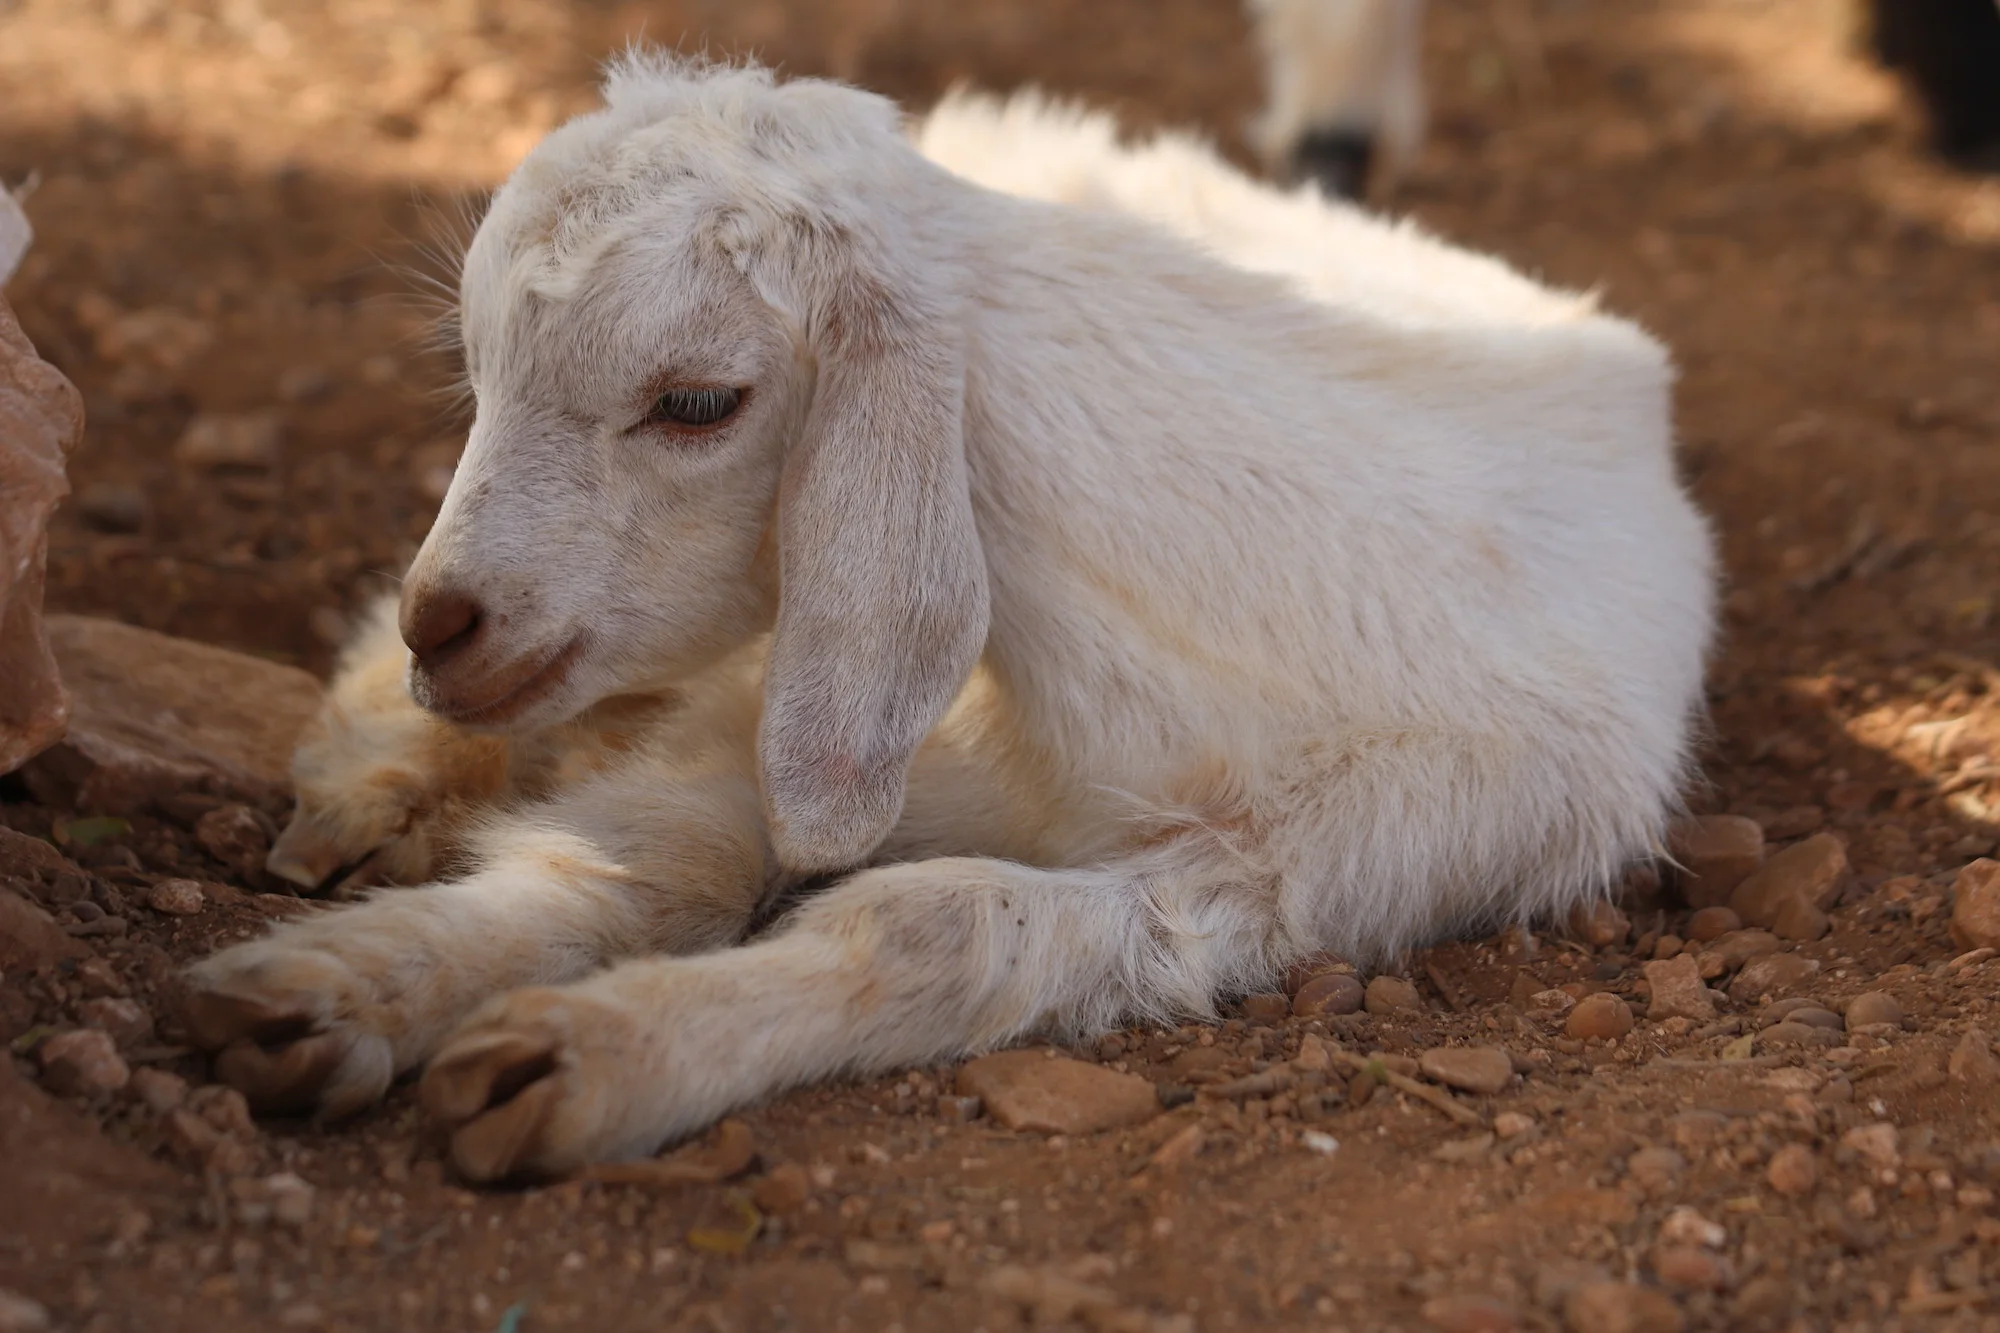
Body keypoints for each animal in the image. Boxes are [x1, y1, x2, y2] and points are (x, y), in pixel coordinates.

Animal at [182, 55, 1714, 1180]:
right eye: (475, 373)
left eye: (697, 402)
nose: (447, 628)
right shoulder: (798, 712)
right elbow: (652, 863)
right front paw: (345, 981)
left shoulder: (1317, 865)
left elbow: (933, 925)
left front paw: (584, 1055)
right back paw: (375, 776)